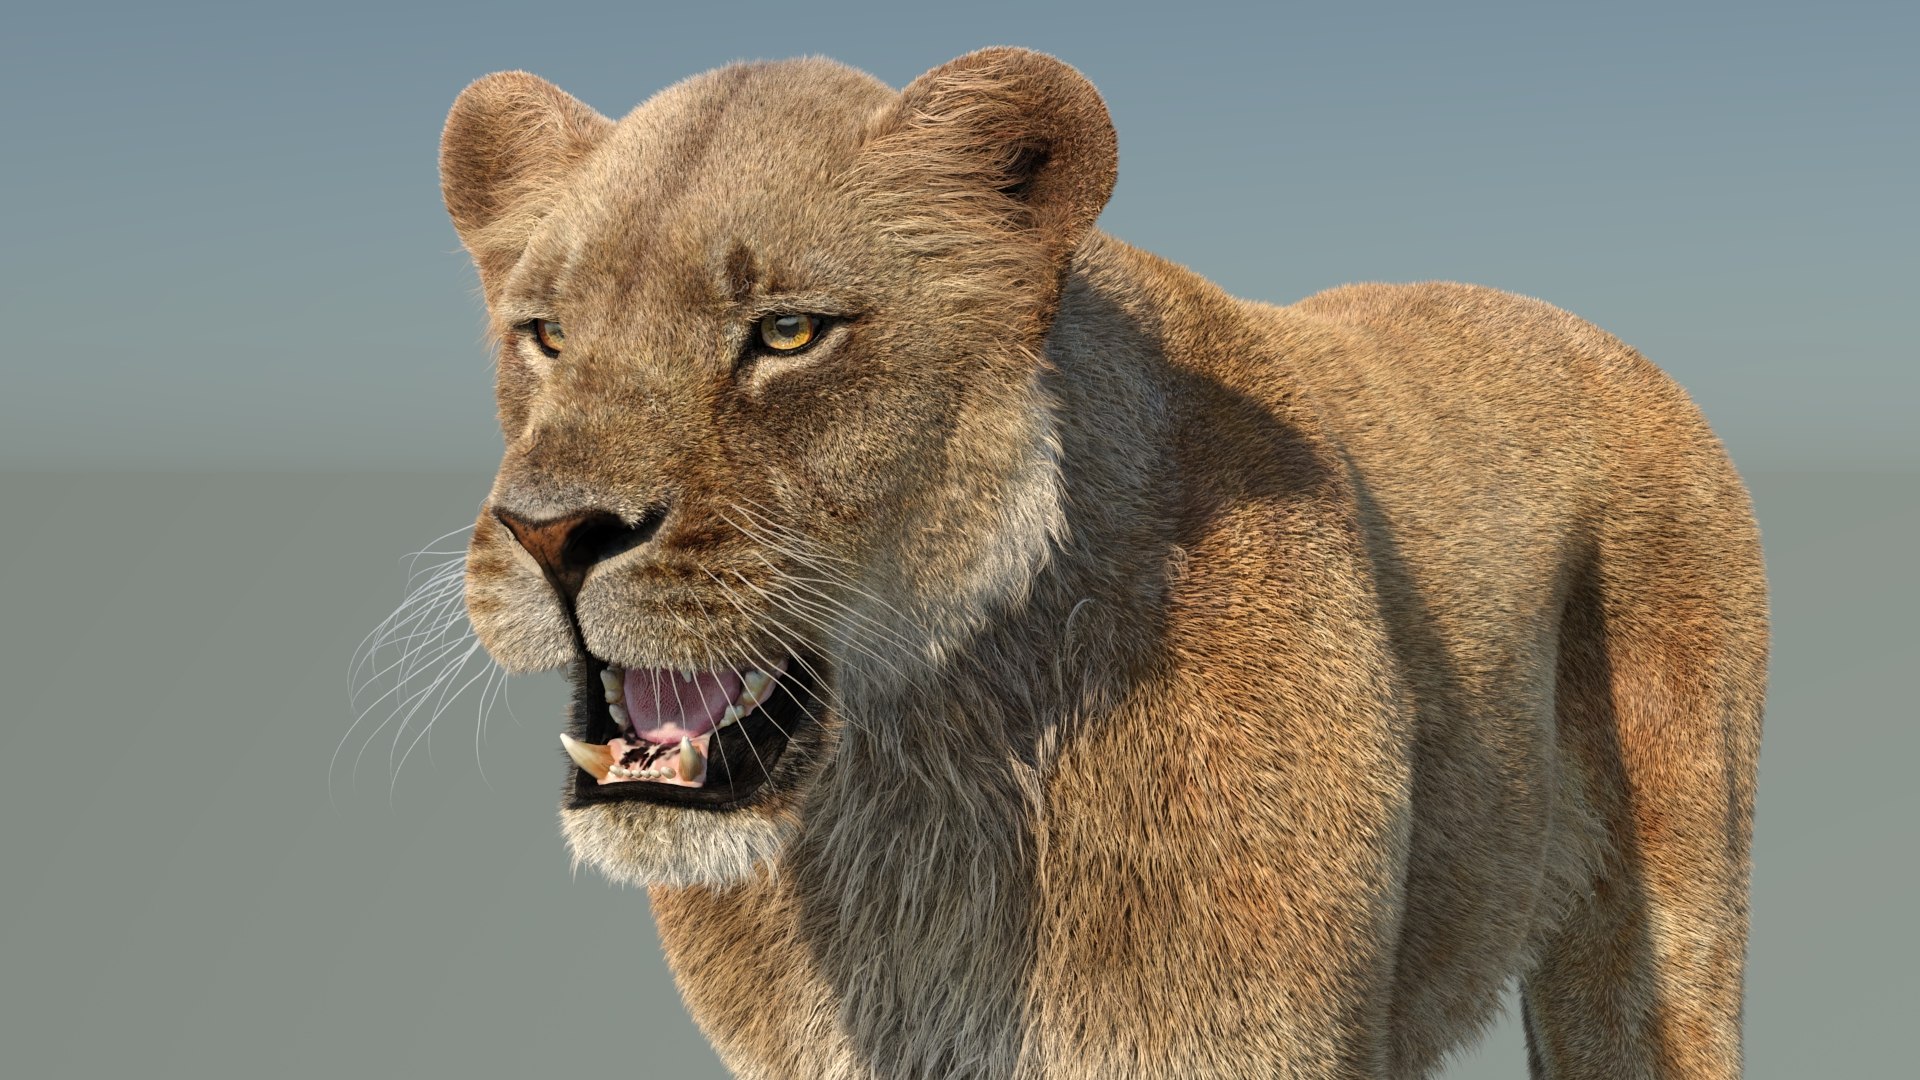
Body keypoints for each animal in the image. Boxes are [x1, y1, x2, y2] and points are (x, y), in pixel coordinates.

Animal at [435, 48, 1766, 1079]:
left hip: (1661, 936)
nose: (552, 534)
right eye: (547, 333)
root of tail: (1601, 336)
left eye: (789, 332)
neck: (919, 779)